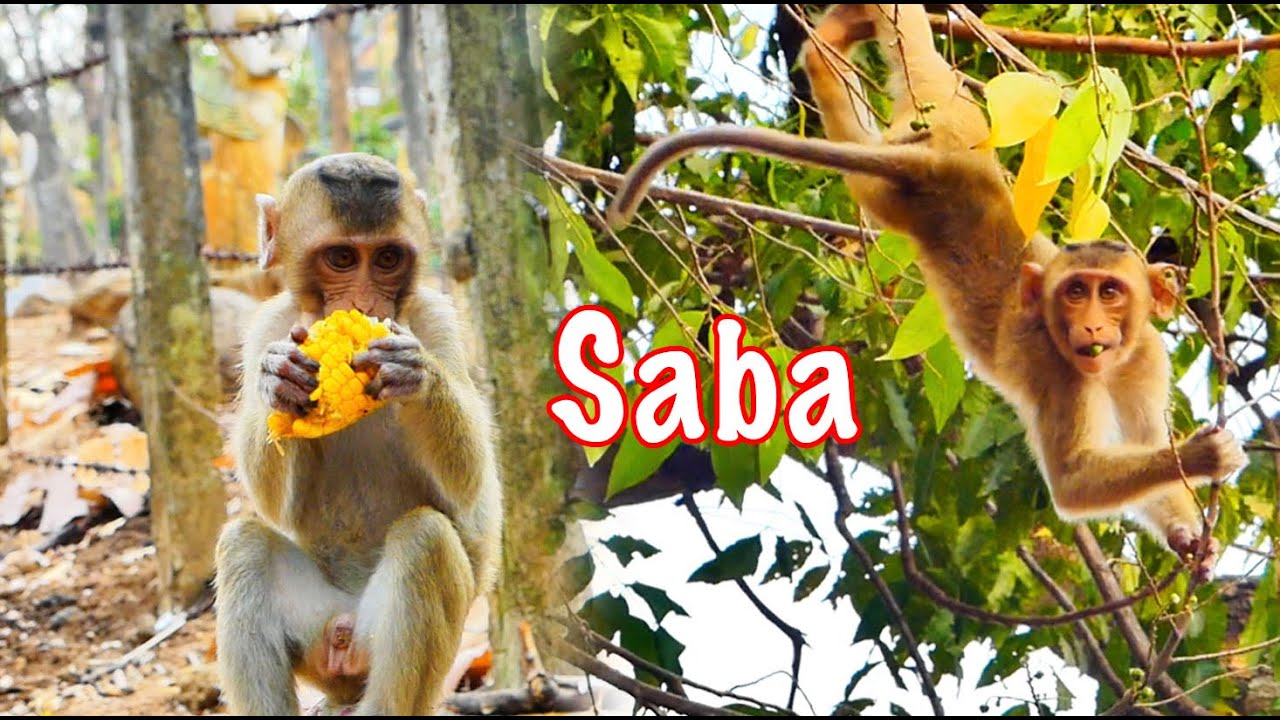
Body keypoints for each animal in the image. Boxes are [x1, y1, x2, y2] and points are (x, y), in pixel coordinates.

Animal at [214, 151, 502, 714]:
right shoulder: (269, 323)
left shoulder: (436, 318)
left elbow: (470, 491)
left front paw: (416, 374)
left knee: (427, 539)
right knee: (244, 545)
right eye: (343, 258)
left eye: (387, 258)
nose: (367, 303)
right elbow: (274, 503)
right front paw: (280, 381)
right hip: (317, 632)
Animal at [604, 5, 1246, 580]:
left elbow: (1145, 439)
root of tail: (940, 169)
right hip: (906, 182)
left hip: (953, 121)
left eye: (1109, 292)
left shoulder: (1146, 358)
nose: (1090, 325)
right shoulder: (1058, 370)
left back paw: (836, 36)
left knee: (918, 58)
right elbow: (1071, 481)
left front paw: (1190, 538)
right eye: (1075, 293)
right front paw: (1206, 456)